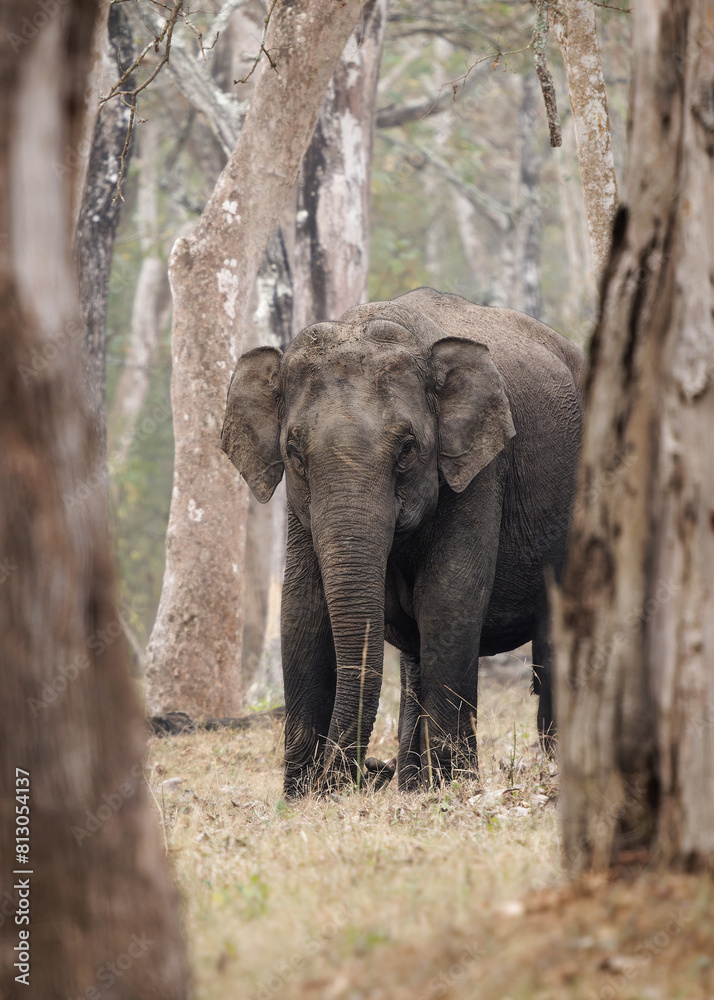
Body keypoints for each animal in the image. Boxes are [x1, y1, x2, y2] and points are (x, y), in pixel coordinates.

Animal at [221, 287, 587, 796]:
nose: (368, 772)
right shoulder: (299, 508)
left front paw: (456, 787)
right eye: (293, 452)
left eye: (408, 449)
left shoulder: (479, 470)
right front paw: (299, 797)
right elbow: (302, 608)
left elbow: (448, 598)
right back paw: (415, 784)